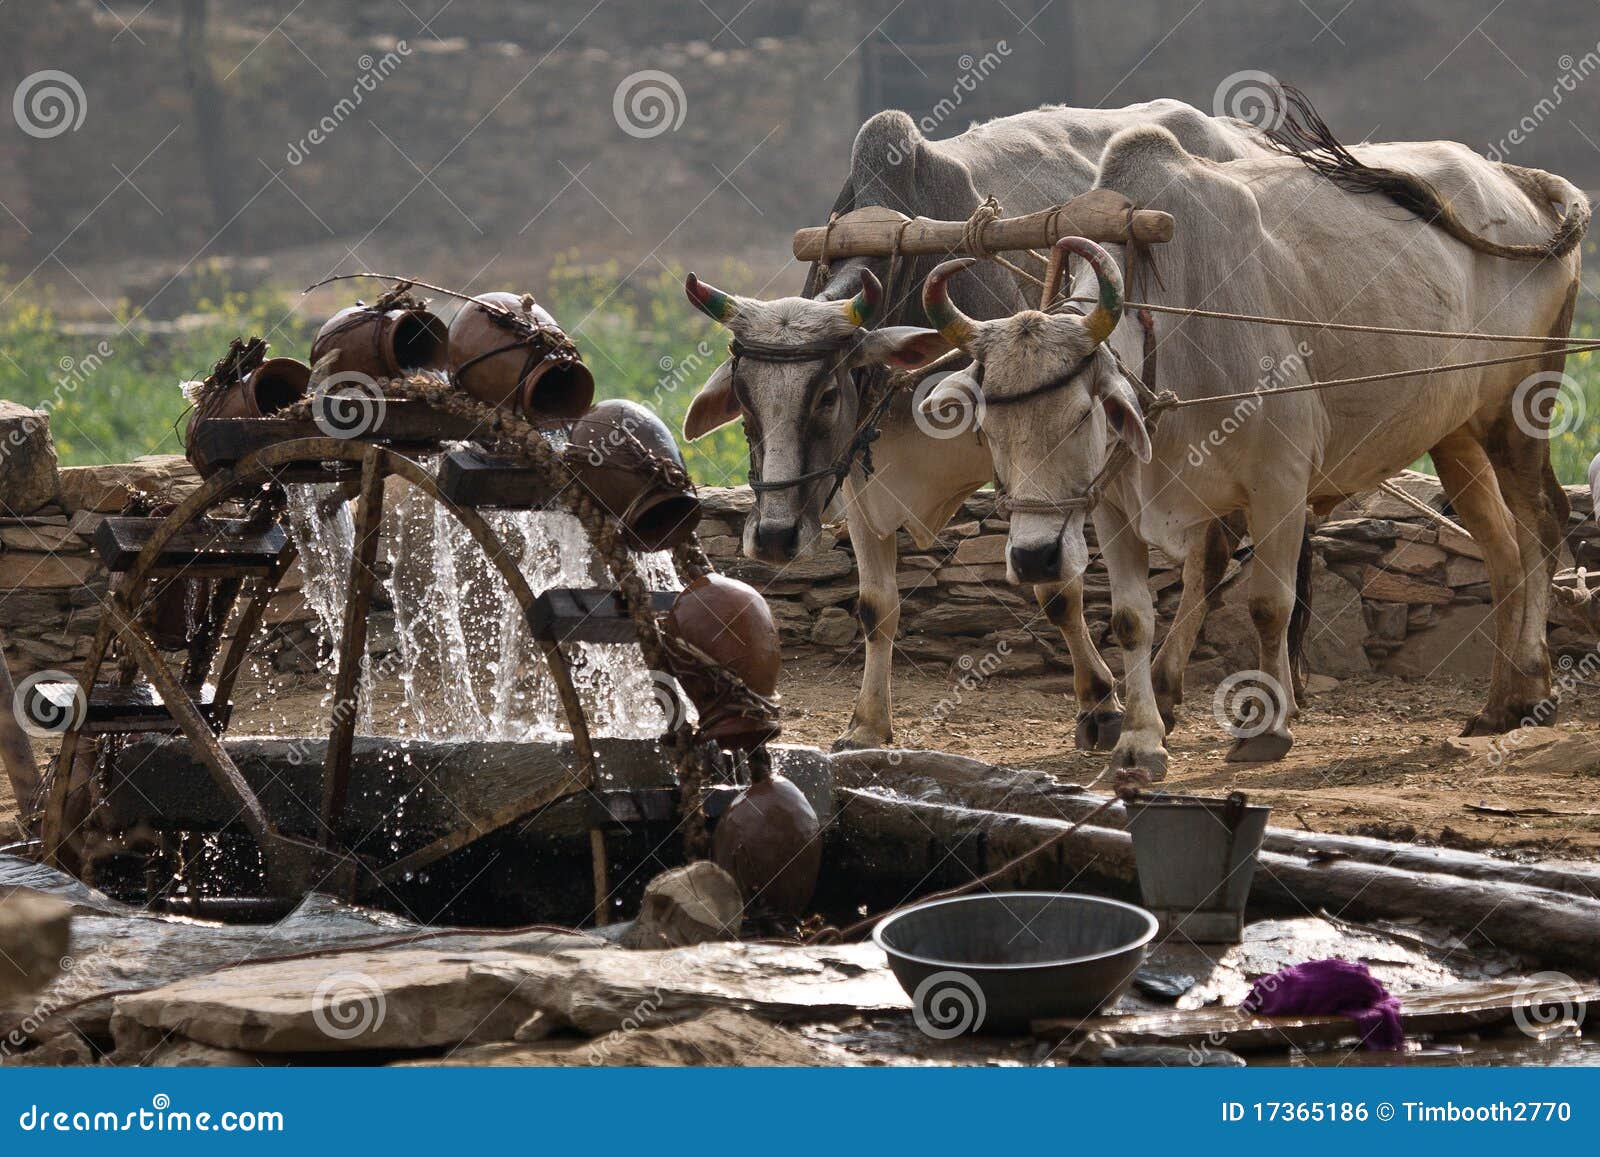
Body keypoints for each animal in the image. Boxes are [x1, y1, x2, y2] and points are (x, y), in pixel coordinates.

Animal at [679, 99, 1267, 751]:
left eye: (827, 394)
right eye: (744, 396)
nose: (774, 538)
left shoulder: (1021, 460)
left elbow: (1056, 589)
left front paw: (1100, 706)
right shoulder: (857, 477)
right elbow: (875, 607)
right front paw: (866, 725)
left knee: (1210, 560)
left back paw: (1167, 686)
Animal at [893, 92, 1588, 778]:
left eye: (1083, 415)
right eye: (989, 424)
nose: (1033, 558)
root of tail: (1519, 180)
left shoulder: (1278, 485)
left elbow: (1268, 605)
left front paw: (1268, 728)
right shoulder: (1113, 503)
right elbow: (1131, 618)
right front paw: (1140, 741)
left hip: (1518, 410)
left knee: (1541, 525)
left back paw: (1531, 689)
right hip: (1456, 435)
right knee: (1501, 550)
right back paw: (1500, 701)